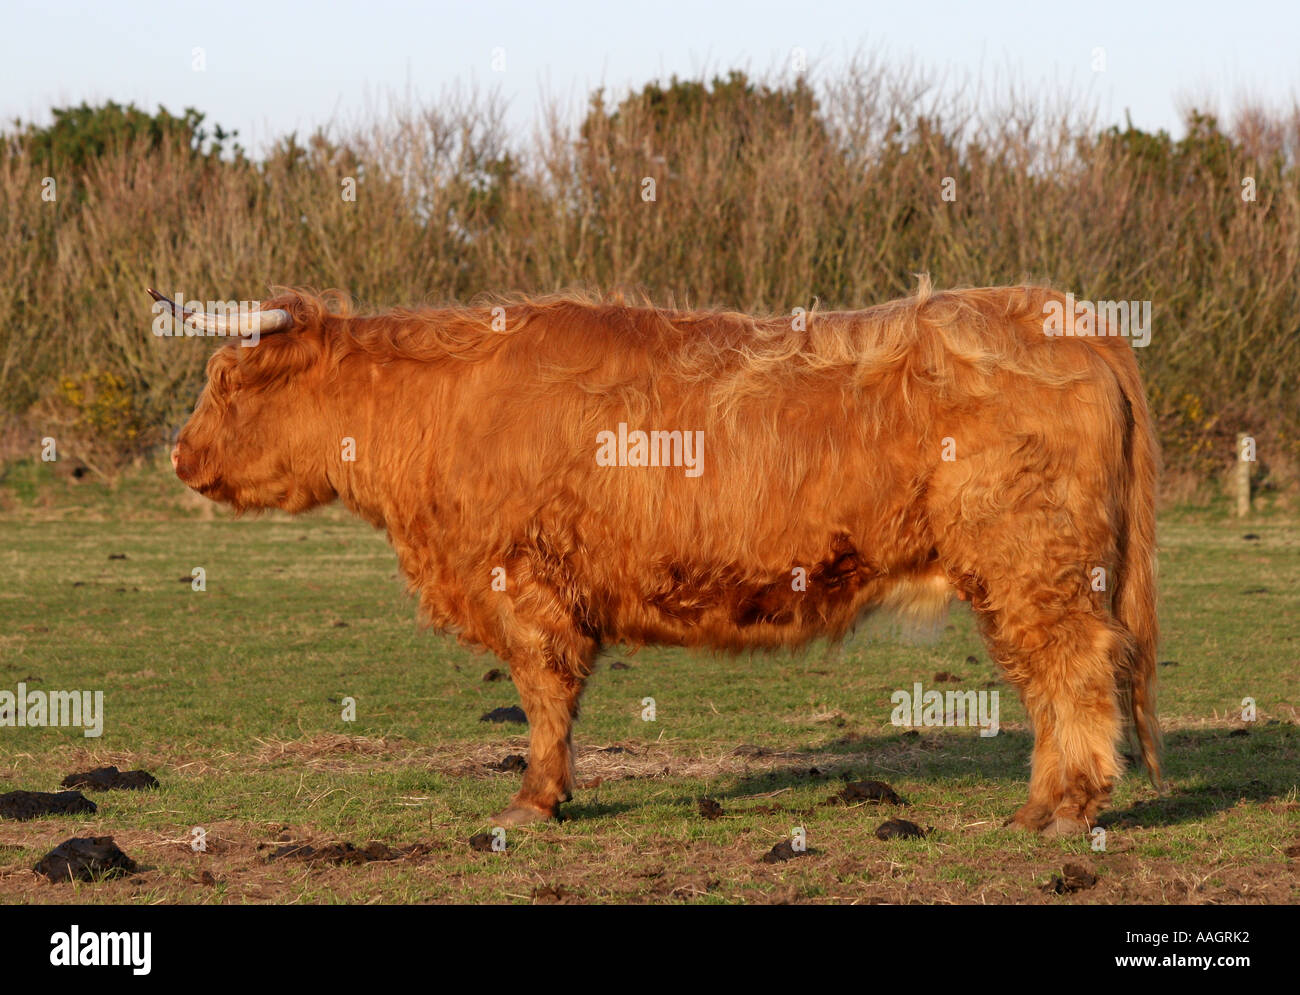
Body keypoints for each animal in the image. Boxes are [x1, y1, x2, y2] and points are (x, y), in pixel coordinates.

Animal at [150, 278, 1160, 836]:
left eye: (227, 382)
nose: (180, 456)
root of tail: (1056, 311)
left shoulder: (523, 582)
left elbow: (544, 693)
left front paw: (533, 800)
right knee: (1051, 678)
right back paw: (1038, 806)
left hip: (1034, 563)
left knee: (1071, 670)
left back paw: (1066, 810)